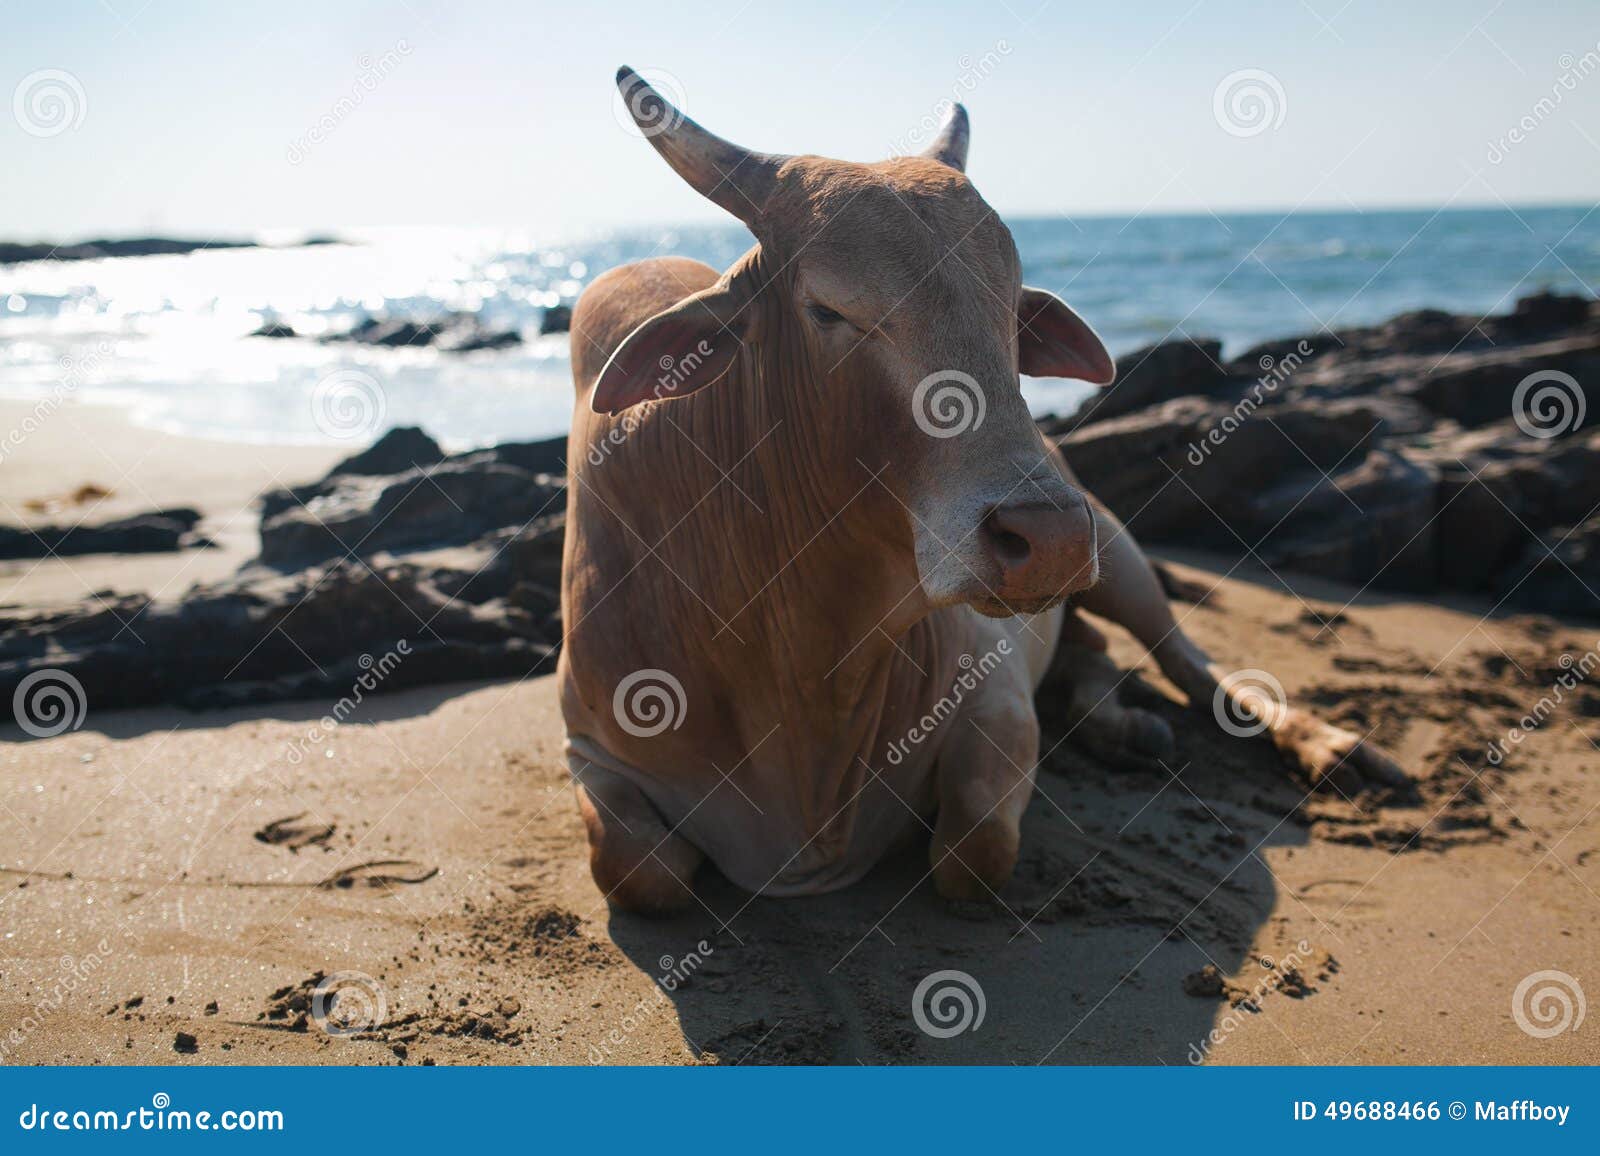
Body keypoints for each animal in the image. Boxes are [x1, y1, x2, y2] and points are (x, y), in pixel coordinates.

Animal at [557, 67, 1408, 915]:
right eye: (827, 309)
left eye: (1013, 309)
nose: (1050, 539)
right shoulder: (590, 749)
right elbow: (638, 869)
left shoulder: (992, 689)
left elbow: (976, 849)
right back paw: (1120, 726)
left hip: (1119, 554)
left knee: (1194, 667)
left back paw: (1325, 746)